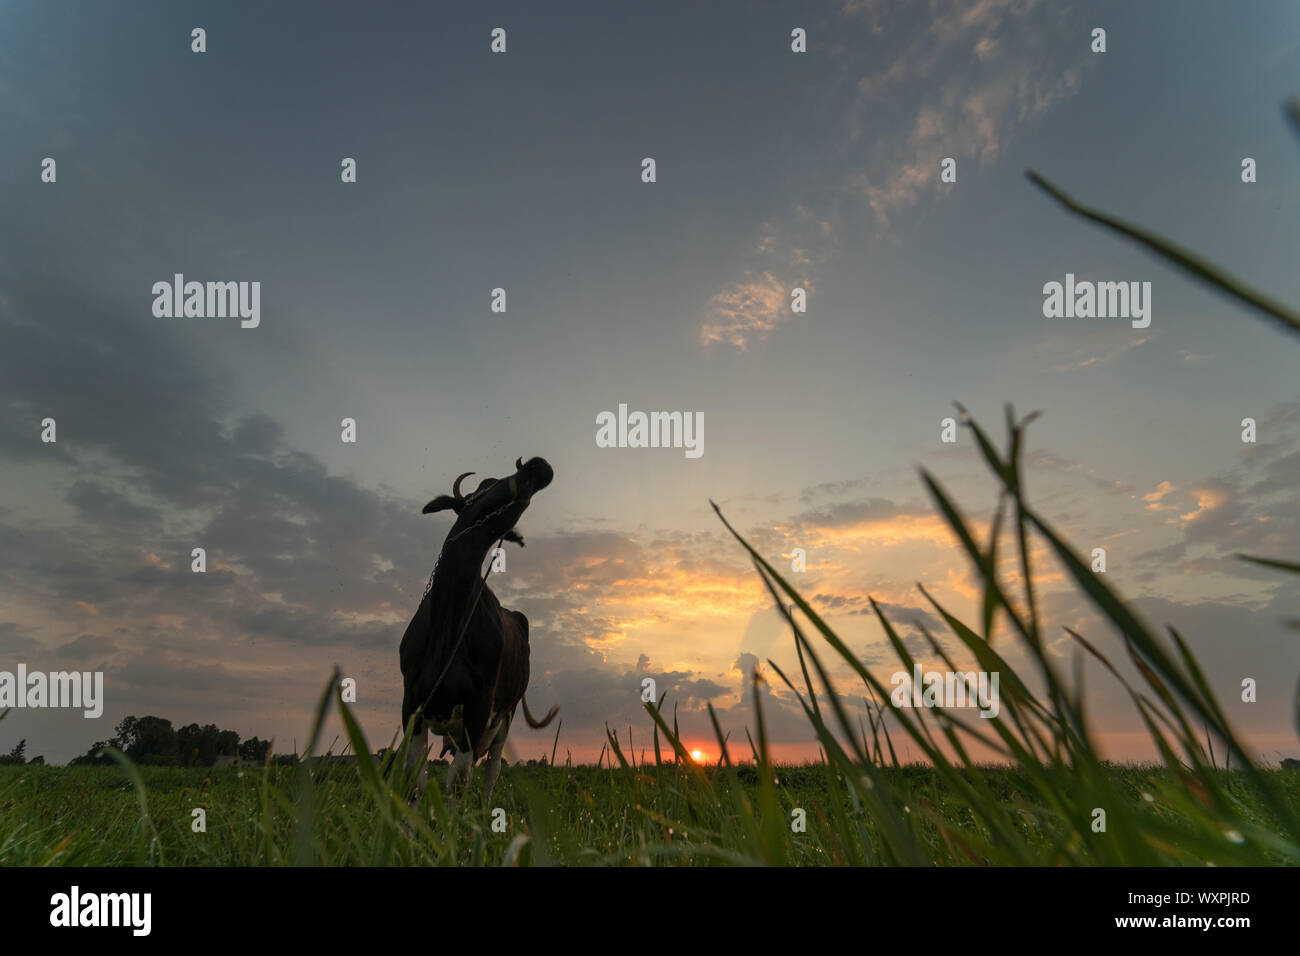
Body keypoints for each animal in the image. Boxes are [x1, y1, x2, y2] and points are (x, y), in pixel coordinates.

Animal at [400, 456, 559, 803]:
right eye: (483, 488)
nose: (536, 465)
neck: (448, 624)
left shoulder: (479, 706)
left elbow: (458, 783)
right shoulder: (411, 702)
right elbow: (415, 780)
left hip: (505, 716)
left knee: (491, 771)